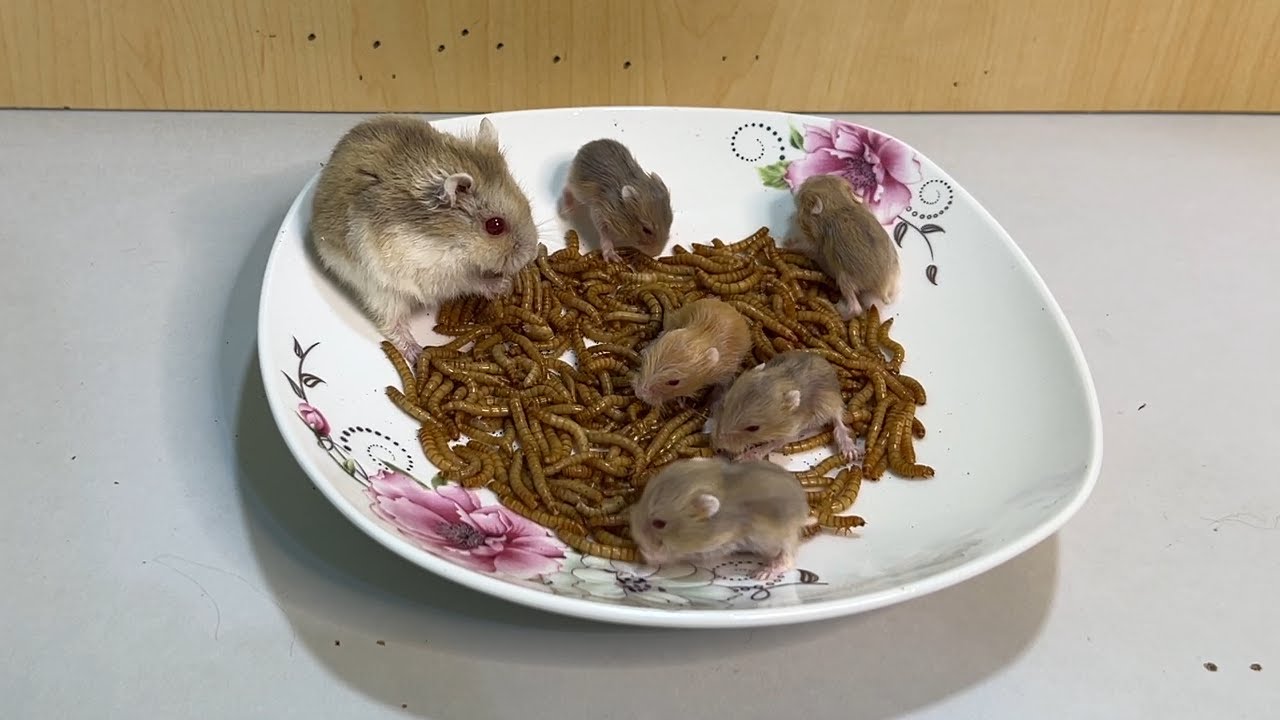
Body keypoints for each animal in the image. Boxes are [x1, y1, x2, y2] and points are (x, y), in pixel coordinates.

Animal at [309, 114, 539, 365]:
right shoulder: (436, 275)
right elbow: (473, 281)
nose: (530, 256)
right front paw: (505, 284)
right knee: (391, 323)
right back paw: (417, 354)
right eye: (495, 226)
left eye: (526, 201)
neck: (452, 240)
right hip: (380, 291)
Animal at [629, 456, 814, 581]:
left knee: (787, 560)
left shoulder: (719, 545)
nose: (636, 539)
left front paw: (649, 557)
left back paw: (762, 573)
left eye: (659, 523)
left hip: (783, 538)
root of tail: (803, 514)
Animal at [711, 349, 858, 464]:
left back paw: (850, 451)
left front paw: (744, 457)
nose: (716, 445)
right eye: (724, 404)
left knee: (838, 421)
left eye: (753, 428)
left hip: (831, 404)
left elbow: (773, 444)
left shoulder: (791, 432)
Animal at [786, 173, 902, 318]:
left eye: (803, 196)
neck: (837, 203)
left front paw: (785, 240)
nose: (795, 189)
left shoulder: (814, 243)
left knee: (855, 308)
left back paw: (839, 308)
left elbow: (803, 246)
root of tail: (882, 288)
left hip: (845, 280)